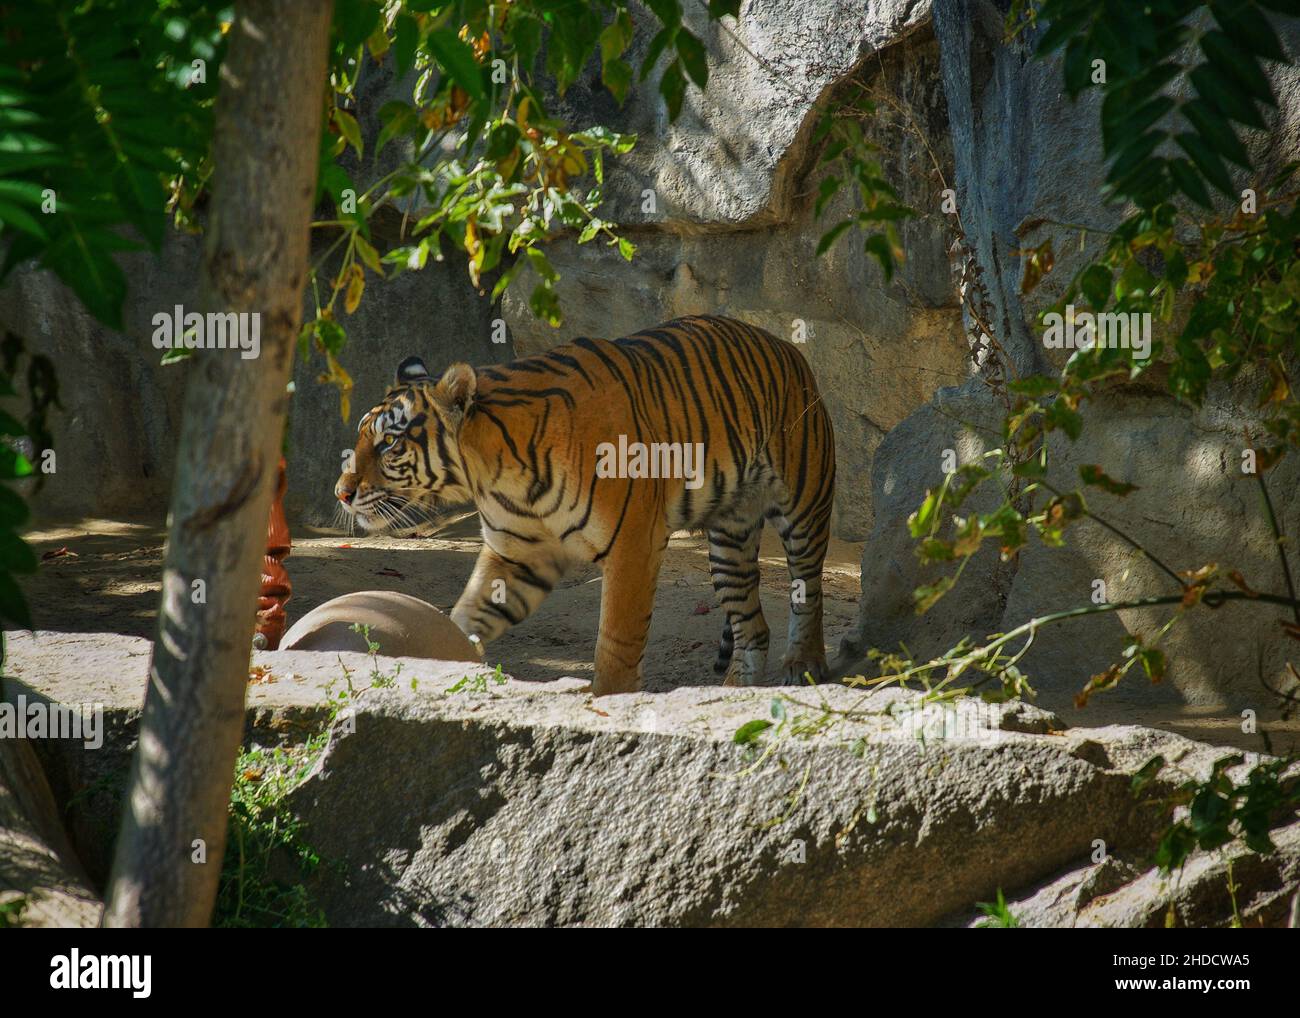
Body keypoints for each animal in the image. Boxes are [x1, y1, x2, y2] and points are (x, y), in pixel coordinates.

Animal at [335, 314, 836, 697]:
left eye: (389, 442)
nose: (341, 492)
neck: (494, 475)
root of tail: (784, 344)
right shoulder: (518, 555)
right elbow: (468, 614)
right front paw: (448, 659)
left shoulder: (633, 545)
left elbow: (616, 643)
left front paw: (611, 701)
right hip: (730, 541)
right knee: (753, 626)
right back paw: (732, 693)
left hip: (804, 507)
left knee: (808, 589)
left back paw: (803, 666)